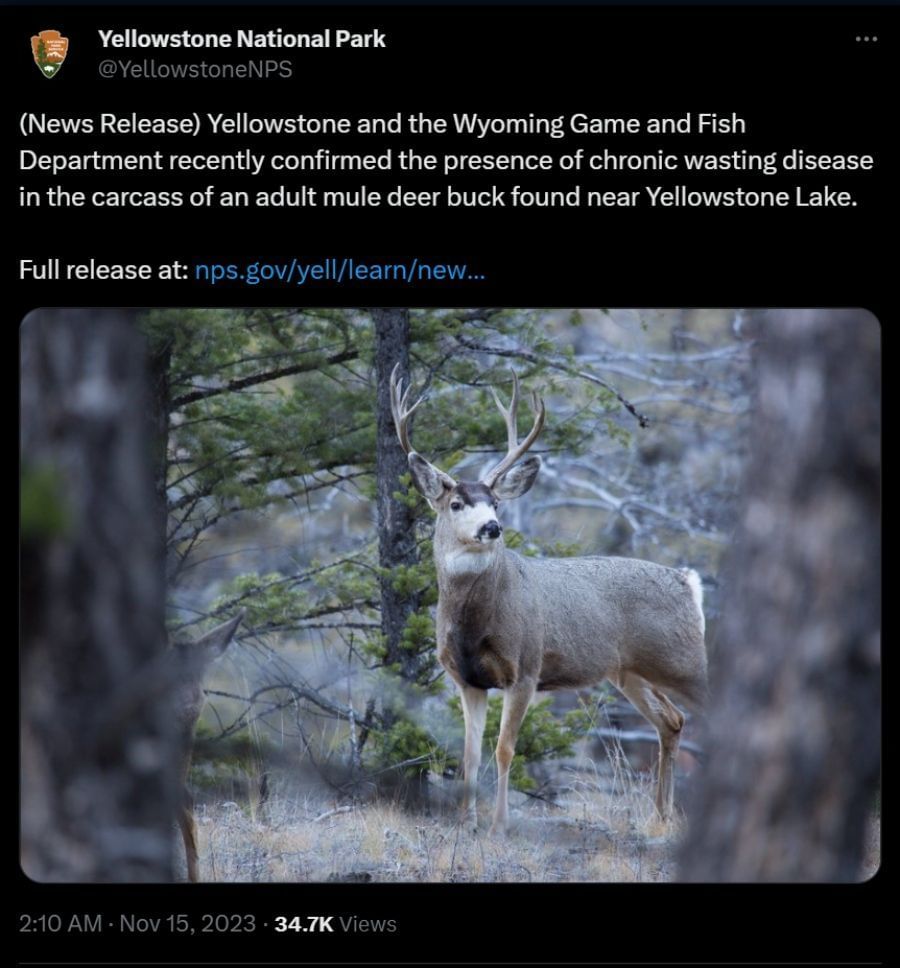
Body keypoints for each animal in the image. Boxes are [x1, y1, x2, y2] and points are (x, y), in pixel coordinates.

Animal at [389, 365, 707, 833]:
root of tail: (688, 582)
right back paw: (660, 818)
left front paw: (499, 825)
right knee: (672, 720)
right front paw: (466, 823)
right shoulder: (466, 678)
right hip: (629, 671)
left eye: (496, 502)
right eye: (457, 503)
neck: (474, 624)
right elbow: (469, 755)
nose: (492, 527)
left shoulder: (525, 667)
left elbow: (504, 749)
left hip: (685, 661)